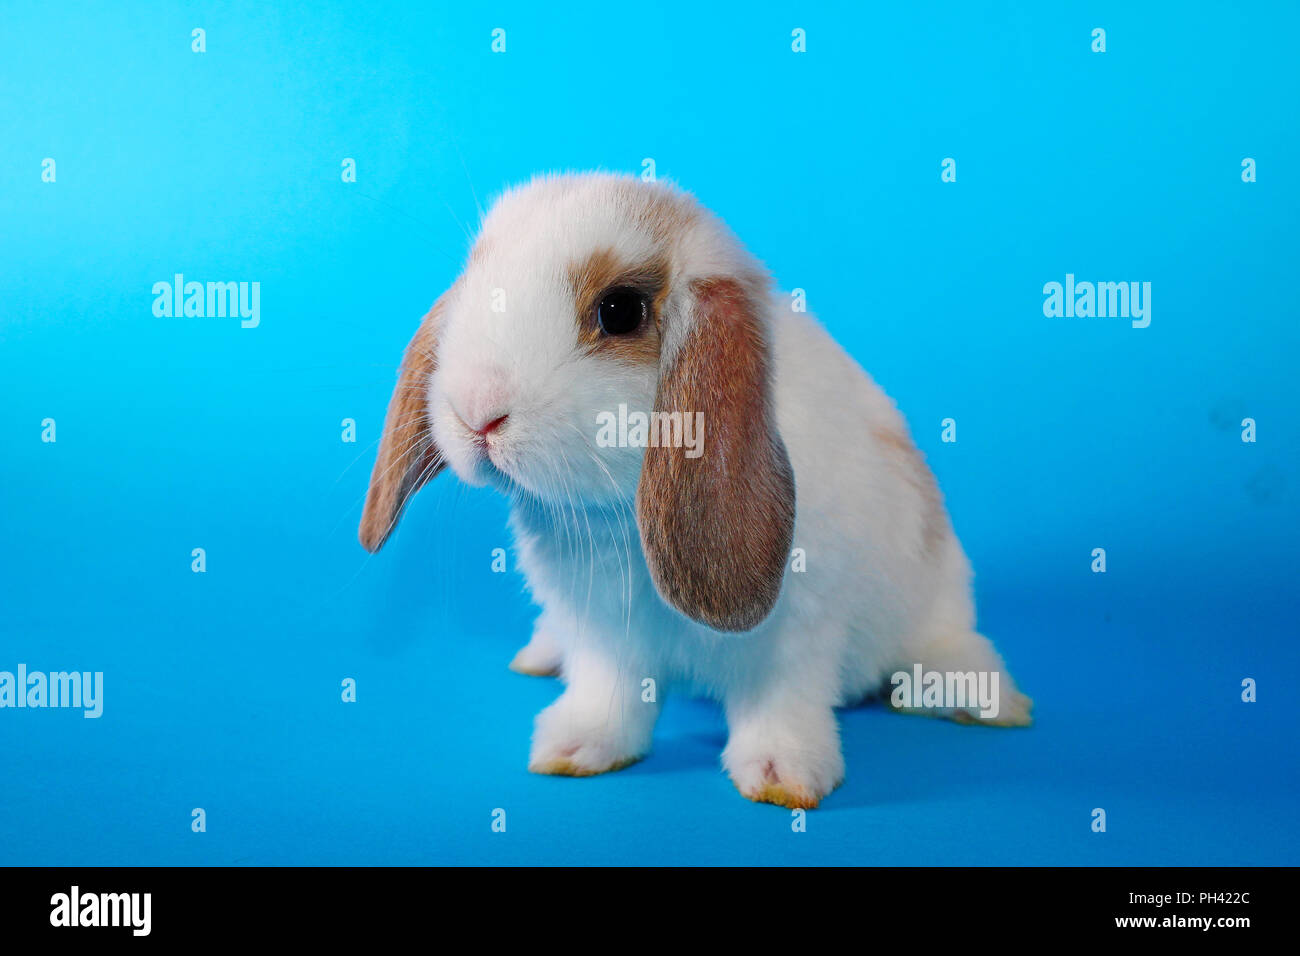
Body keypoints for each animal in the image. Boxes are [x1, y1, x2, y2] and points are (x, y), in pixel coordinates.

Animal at [359, 172, 1032, 809]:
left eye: (620, 310)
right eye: (474, 278)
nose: (476, 411)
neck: (620, 518)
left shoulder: (793, 637)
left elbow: (778, 704)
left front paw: (782, 774)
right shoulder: (602, 629)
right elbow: (607, 694)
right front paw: (575, 748)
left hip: (936, 595)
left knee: (949, 640)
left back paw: (980, 696)